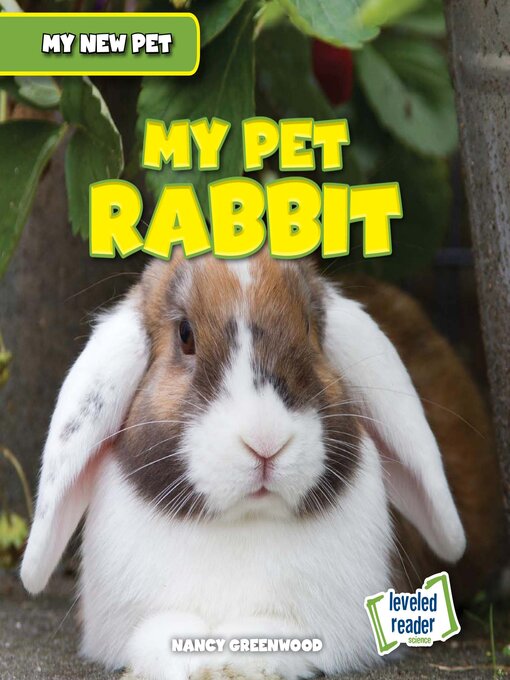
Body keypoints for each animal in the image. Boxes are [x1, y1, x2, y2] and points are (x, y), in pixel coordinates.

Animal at [20, 250, 504, 680]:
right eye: (185, 335)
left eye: (307, 328)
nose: (266, 442)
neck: (245, 522)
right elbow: (159, 634)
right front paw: (198, 664)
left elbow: (280, 635)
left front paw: (235, 663)